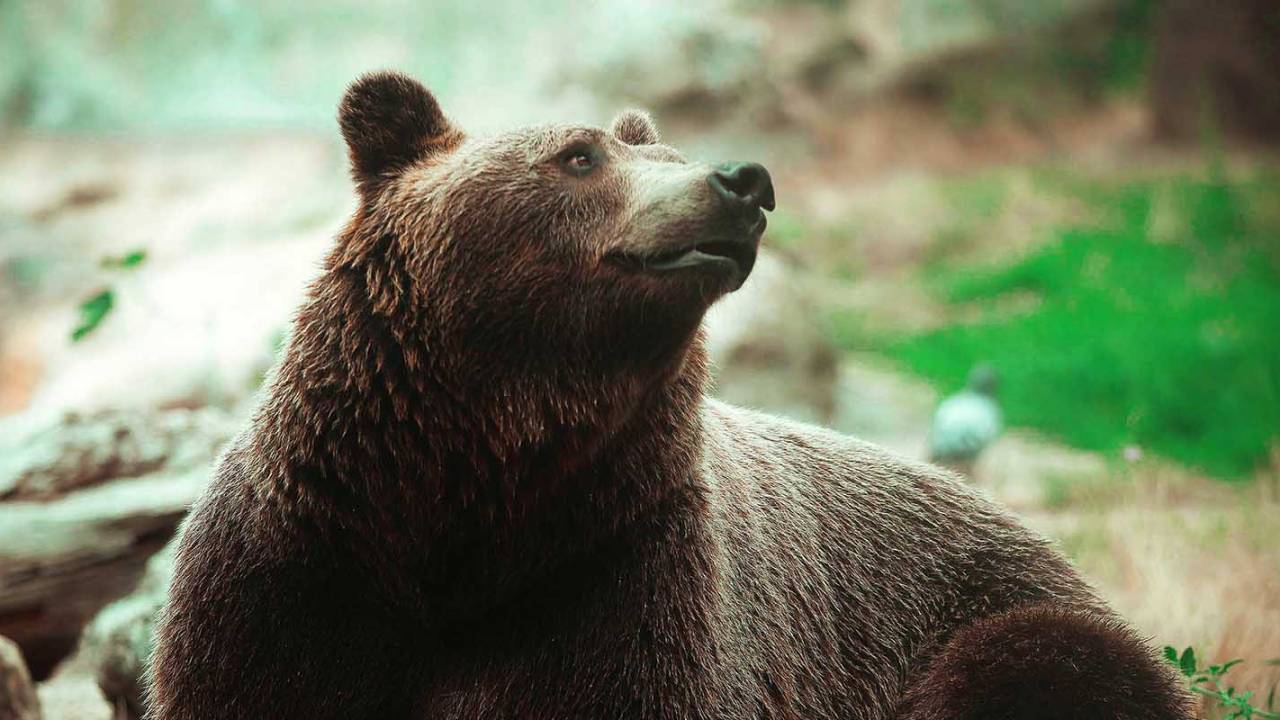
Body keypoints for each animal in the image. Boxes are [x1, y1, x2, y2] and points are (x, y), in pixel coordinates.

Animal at [147, 71, 1192, 720]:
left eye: (663, 148)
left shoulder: (620, 583)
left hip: (998, 622)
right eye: (578, 153)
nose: (744, 180)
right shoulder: (295, 580)